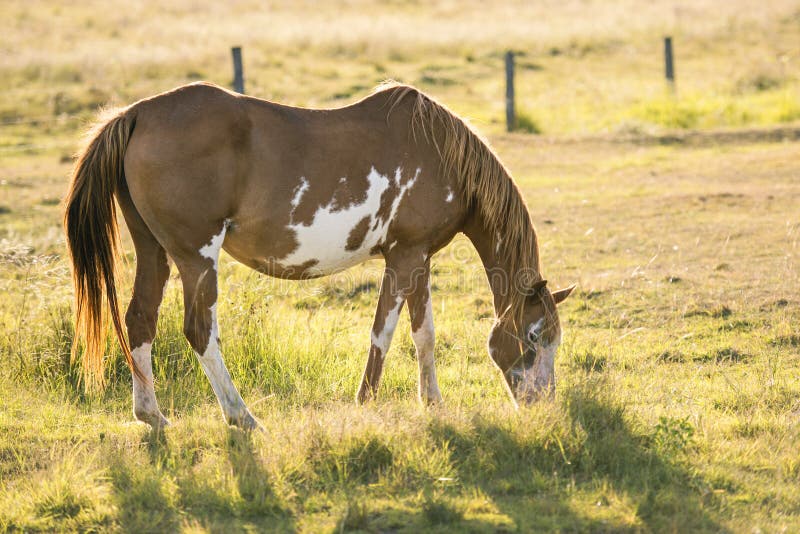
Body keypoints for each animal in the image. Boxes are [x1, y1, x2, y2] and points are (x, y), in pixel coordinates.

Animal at [63, 81, 575, 430]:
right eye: (534, 337)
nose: (542, 406)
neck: (440, 154)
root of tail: (135, 115)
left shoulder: (419, 258)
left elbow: (424, 334)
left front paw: (432, 403)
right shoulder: (404, 256)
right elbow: (383, 334)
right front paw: (366, 402)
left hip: (155, 252)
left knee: (139, 321)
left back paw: (152, 415)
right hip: (196, 258)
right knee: (199, 331)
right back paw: (242, 417)